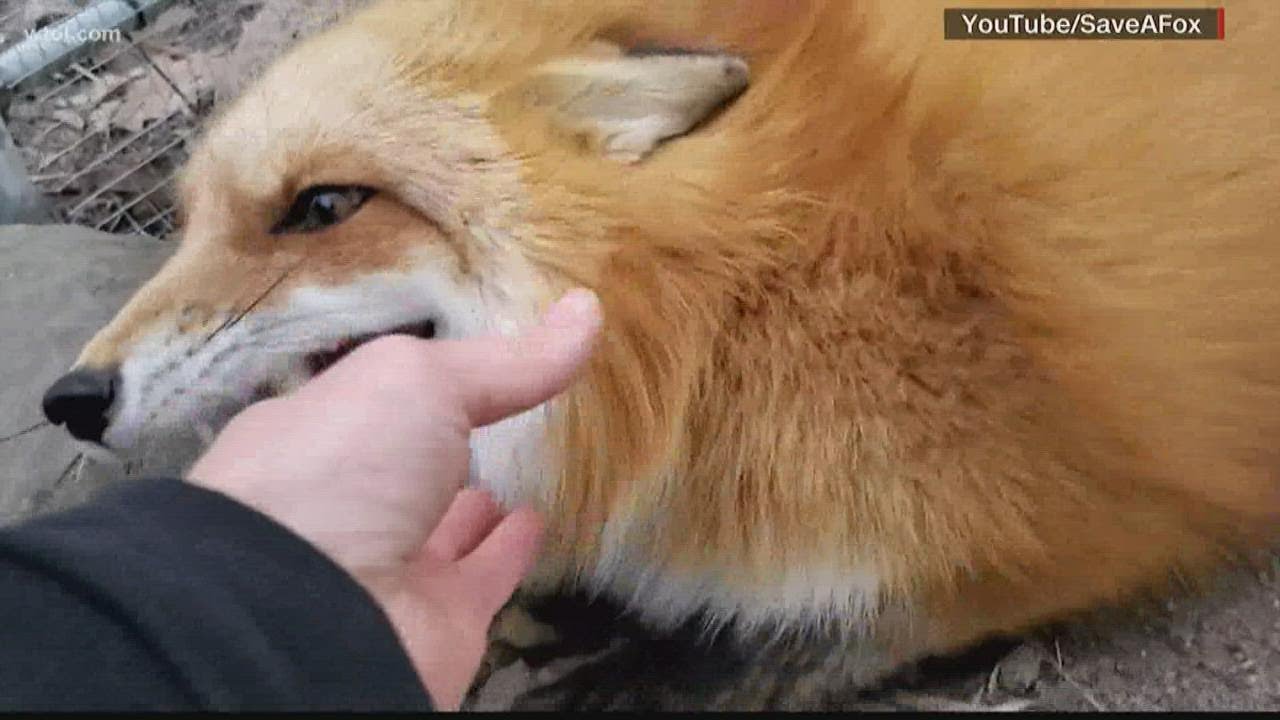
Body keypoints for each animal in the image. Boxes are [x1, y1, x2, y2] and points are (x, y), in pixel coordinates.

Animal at [39, 0, 1280, 710]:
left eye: (324, 206)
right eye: (189, 223)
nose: (70, 398)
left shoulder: (1081, 486)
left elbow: (848, 619)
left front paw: (643, 664)